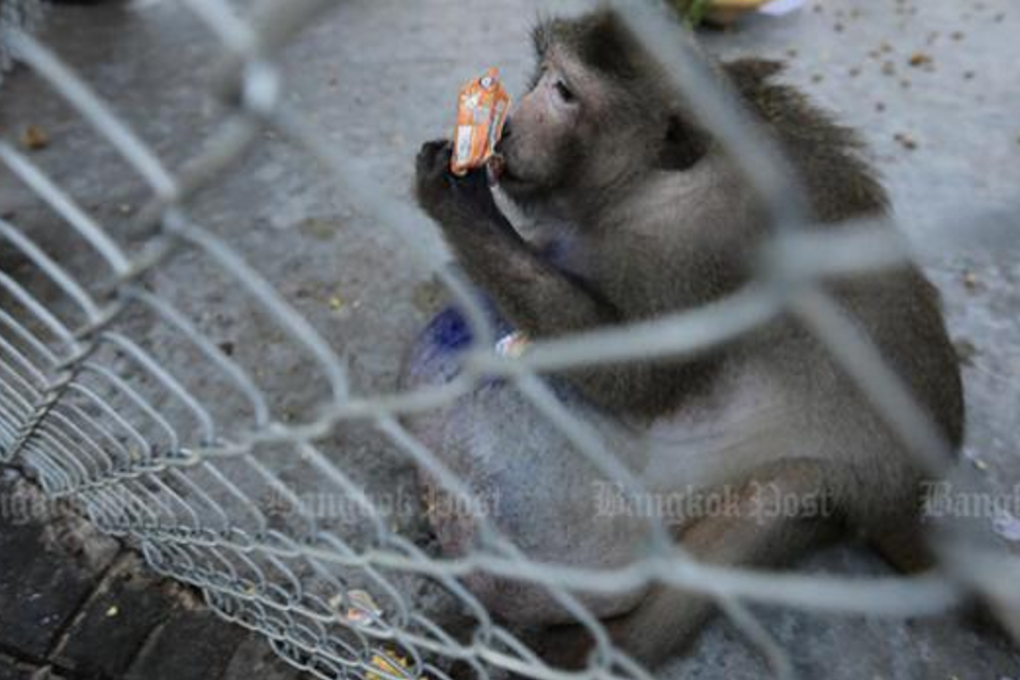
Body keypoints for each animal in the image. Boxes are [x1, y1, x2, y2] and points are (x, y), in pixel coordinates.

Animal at [402, 8, 964, 672]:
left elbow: (639, 382)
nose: (508, 125)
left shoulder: (698, 244)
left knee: (785, 493)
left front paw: (461, 207)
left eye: (565, 92)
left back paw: (607, 648)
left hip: (851, 484)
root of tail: (908, 505)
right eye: (543, 75)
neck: (647, 183)